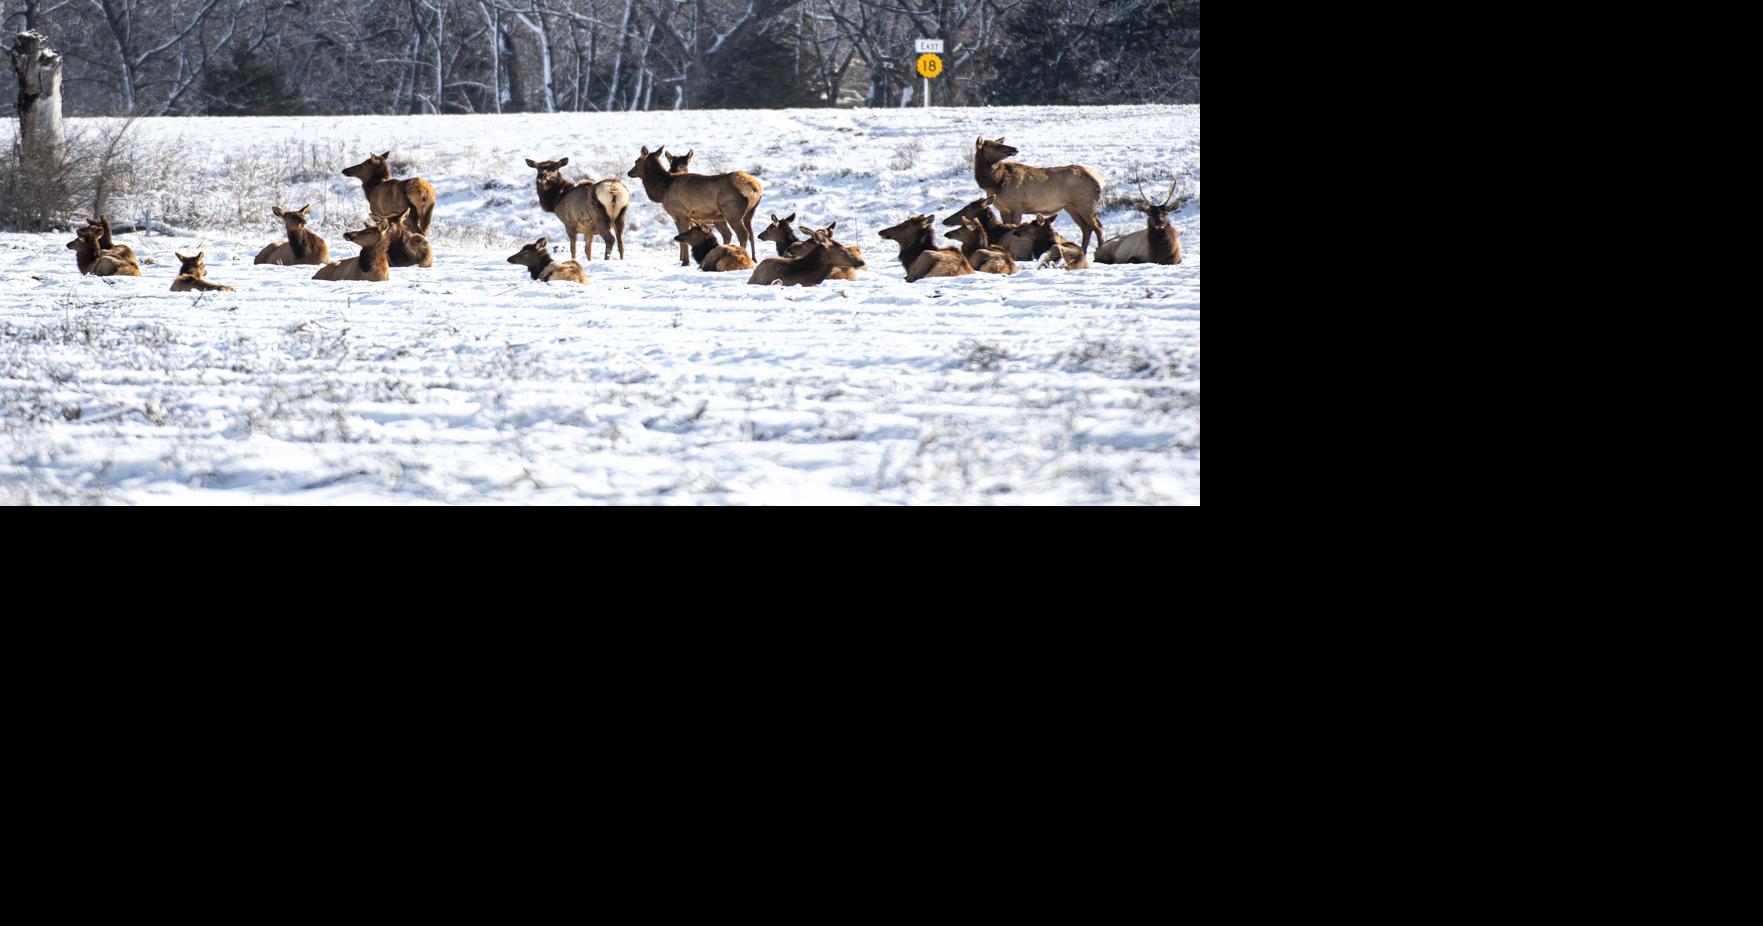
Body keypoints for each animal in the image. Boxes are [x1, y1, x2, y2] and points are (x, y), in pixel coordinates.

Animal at [627, 146, 763, 267]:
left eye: (636, 161)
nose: (629, 172)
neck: (663, 190)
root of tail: (755, 187)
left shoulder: (680, 213)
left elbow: (683, 239)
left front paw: (685, 262)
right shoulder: (686, 216)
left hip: (732, 212)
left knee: (743, 234)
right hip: (748, 213)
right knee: (749, 234)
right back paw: (754, 259)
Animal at [972, 137, 1104, 256]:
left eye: (998, 143)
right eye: (992, 145)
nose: (1014, 149)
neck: (995, 183)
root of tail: (1098, 179)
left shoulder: (1016, 205)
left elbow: (1014, 225)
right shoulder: (1002, 208)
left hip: (1086, 204)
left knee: (1098, 226)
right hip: (1071, 207)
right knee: (1086, 228)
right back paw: (1084, 251)